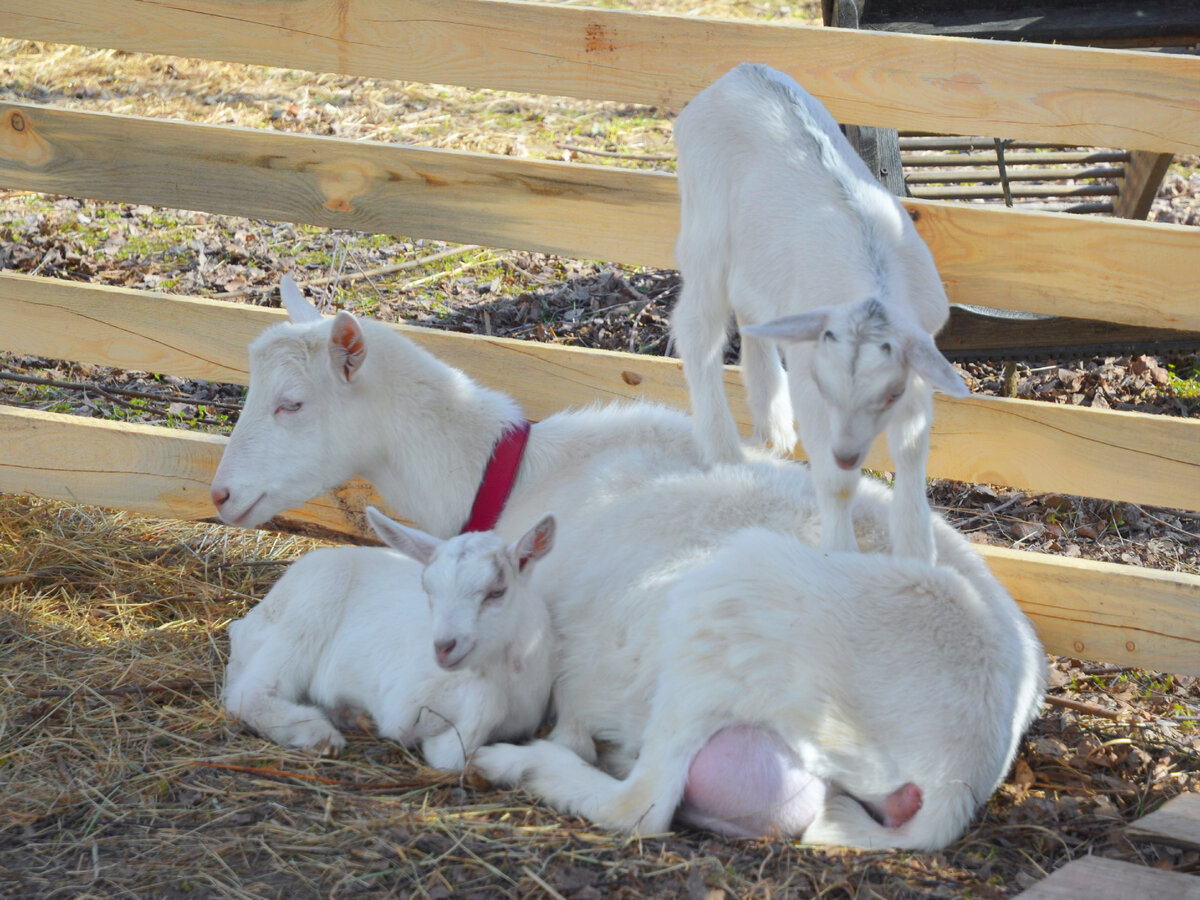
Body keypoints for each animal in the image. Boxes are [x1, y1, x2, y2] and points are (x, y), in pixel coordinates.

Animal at [222, 511, 556, 772]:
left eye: (497, 592)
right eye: (428, 589)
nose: (443, 647)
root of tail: (248, 622)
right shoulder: (405, 700)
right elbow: (478, 710)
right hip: (312, 603)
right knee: (248, 692)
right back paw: (316, 733)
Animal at [672, 61, 969, 564]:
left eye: (889, 394)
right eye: (826, 386)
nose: (848, 453)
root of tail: (739, 71)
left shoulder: (915, 370)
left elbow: (911, 455)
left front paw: (917, 553)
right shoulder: (812, 381)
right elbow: (837, 484)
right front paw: (839, 555)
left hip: (759, 252)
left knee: (752, 311)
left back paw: (772, 430)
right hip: (705, 226)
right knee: (698, 329)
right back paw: (723, 450)